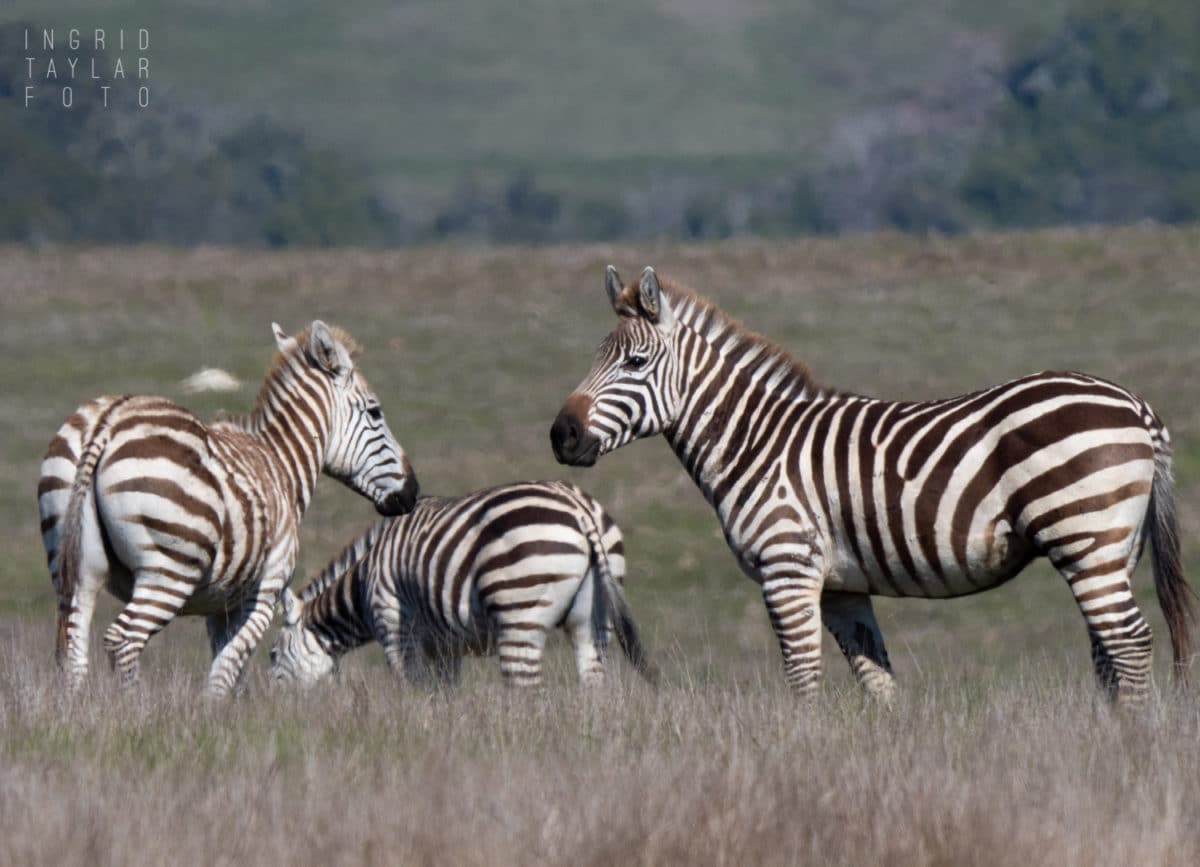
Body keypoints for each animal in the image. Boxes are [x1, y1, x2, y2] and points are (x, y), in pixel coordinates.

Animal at [37, 320, 420, 698]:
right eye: (375, 412)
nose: (412, 492)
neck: (282, 465)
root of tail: (108, 419)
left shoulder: (218, 604)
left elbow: (228, 672)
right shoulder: (263, 594)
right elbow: (225, 674)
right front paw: (211, 713)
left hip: (75, 565)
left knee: (73, 645)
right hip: (169, 570)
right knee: (124, 640)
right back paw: (134, 706)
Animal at [269, 480, 658, 689]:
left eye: (272, 655)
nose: (277, 710)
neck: (365, 581)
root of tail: (579, 508)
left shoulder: (393, 626)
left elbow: (409, 687)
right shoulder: (445, 645)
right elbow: (446, 694)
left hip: (519, 614)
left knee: (528, 690)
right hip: (593, 619)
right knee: (593, 681)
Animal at [550, 265, 1195, 705]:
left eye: (634, 364)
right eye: (596, 357)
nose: (561, 435)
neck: (754, 442)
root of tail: (1136, 406)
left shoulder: (787, 568)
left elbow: (802, 677)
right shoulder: (843, 587)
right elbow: (877, 681)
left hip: (1083, 533)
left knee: (1130, 643)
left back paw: (1131, 740)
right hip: (1111, 545)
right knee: (1108, 649)